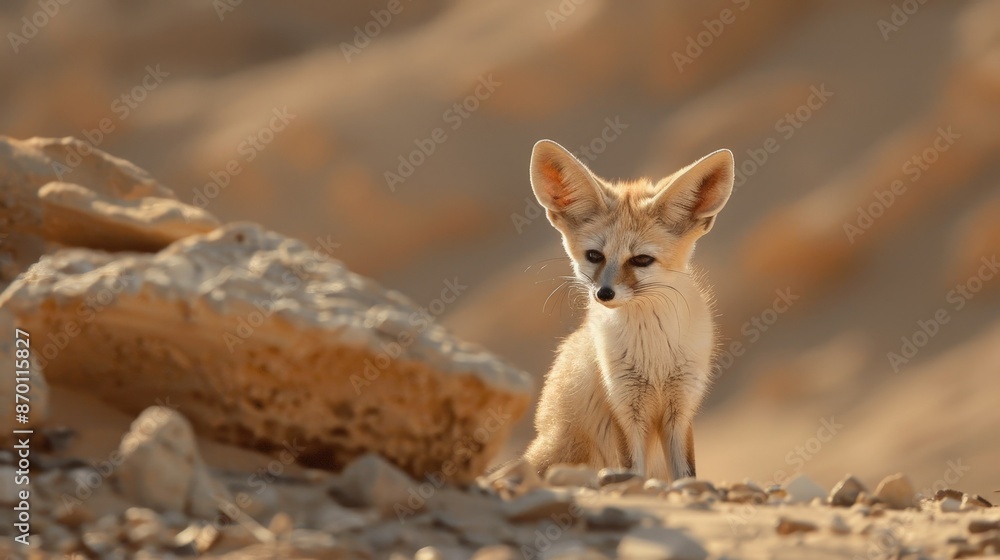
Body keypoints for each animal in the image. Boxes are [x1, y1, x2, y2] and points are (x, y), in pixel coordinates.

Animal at [522, 139, 735, 482]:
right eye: (595, 256)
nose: (603, 294)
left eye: (641, 260)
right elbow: (634, 471)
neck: (653, 356)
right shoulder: (623, 409)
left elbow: (686, 475)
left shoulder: (680, 409)